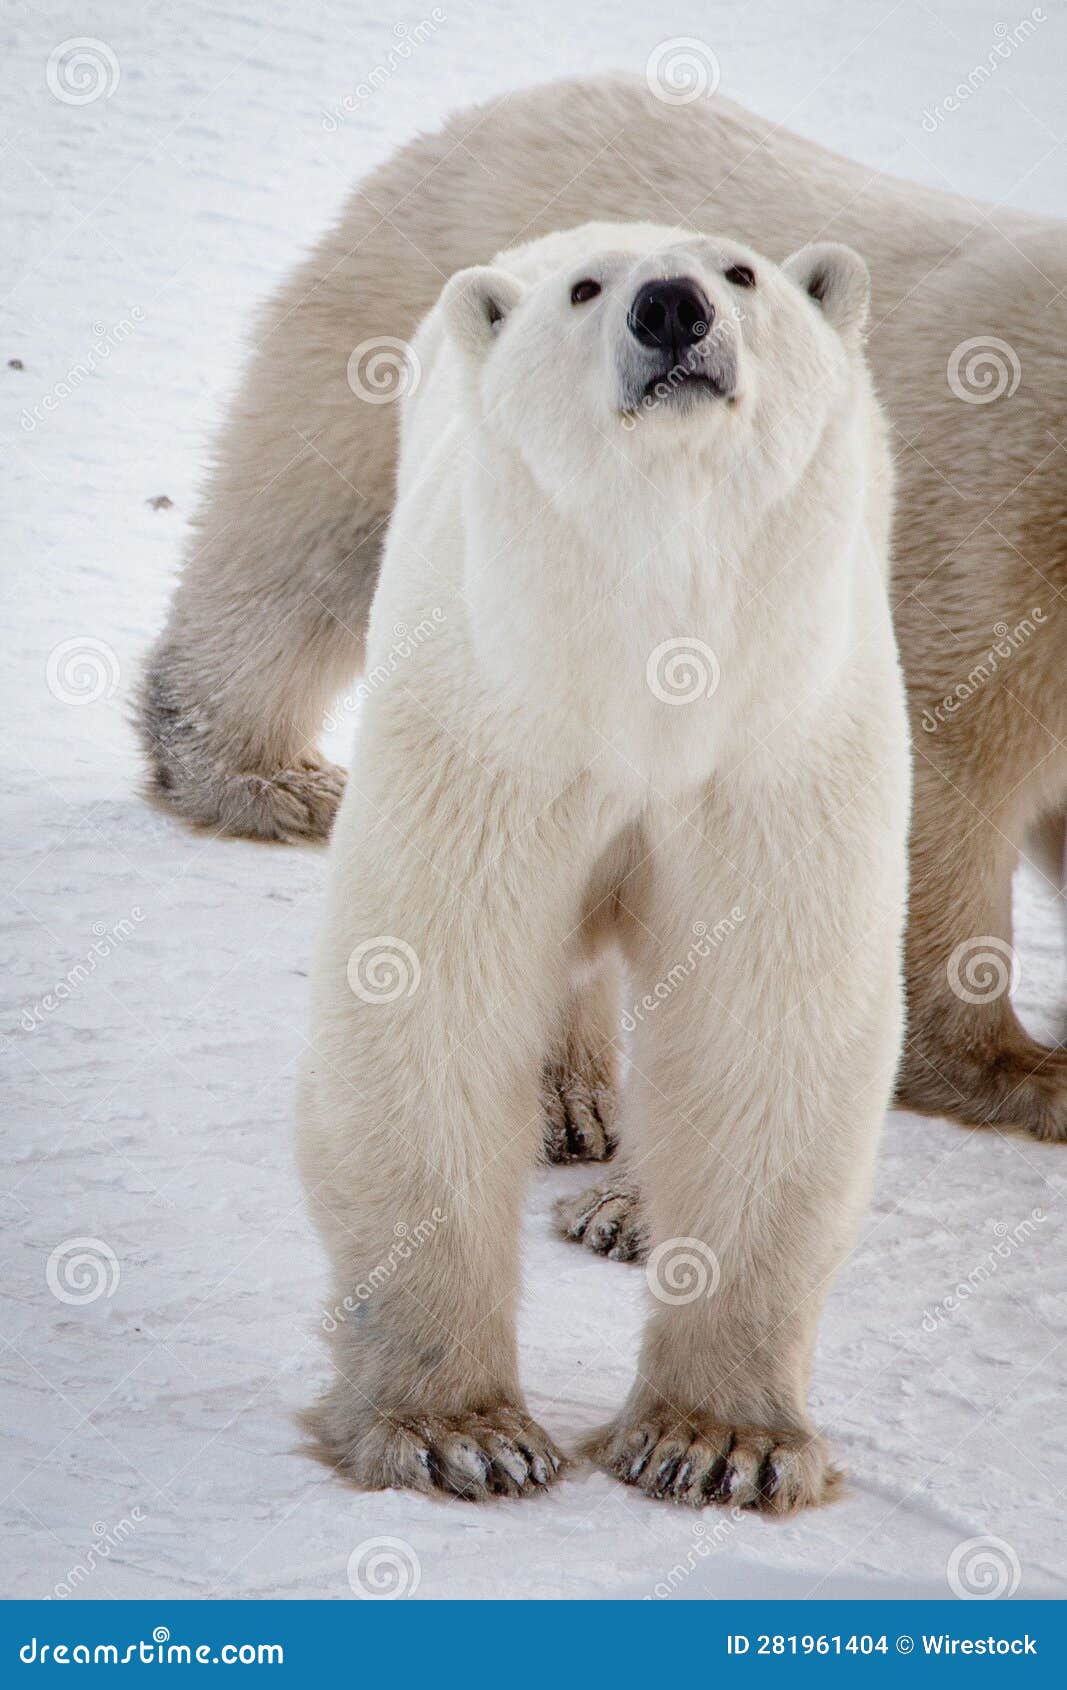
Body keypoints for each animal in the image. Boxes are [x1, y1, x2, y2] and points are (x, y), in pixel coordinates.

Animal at [295, 220, 911, 1511]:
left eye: (740, 273)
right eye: (584, 296)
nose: (670, 306)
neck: (651, 650)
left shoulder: (773, 742)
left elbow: (757, 1020)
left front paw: (720, 1440)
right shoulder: (495, 720)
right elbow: (432, 987)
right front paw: (459, 1431)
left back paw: (623, 1195)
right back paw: (566, 1103)